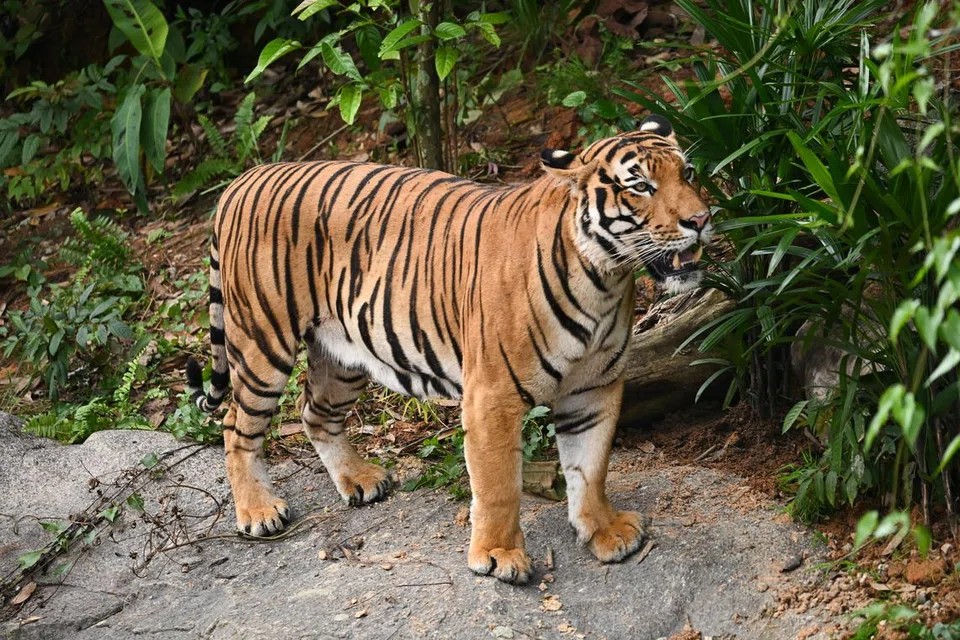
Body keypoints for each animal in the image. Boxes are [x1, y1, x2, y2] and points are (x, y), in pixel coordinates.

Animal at [186, 114, 713, 584]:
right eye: (640, 186)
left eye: (687, 173)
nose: (702, 220)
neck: (604, 278)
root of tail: (242, 179)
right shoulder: (492, 396)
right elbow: (498, 484)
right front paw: (498, 556)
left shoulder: (595, 388)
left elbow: (591, 465)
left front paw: (606, 531)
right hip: (263, 343)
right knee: (236, 426)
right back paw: (258, 511)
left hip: (343, 352)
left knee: (314, 413)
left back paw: (360, 481)